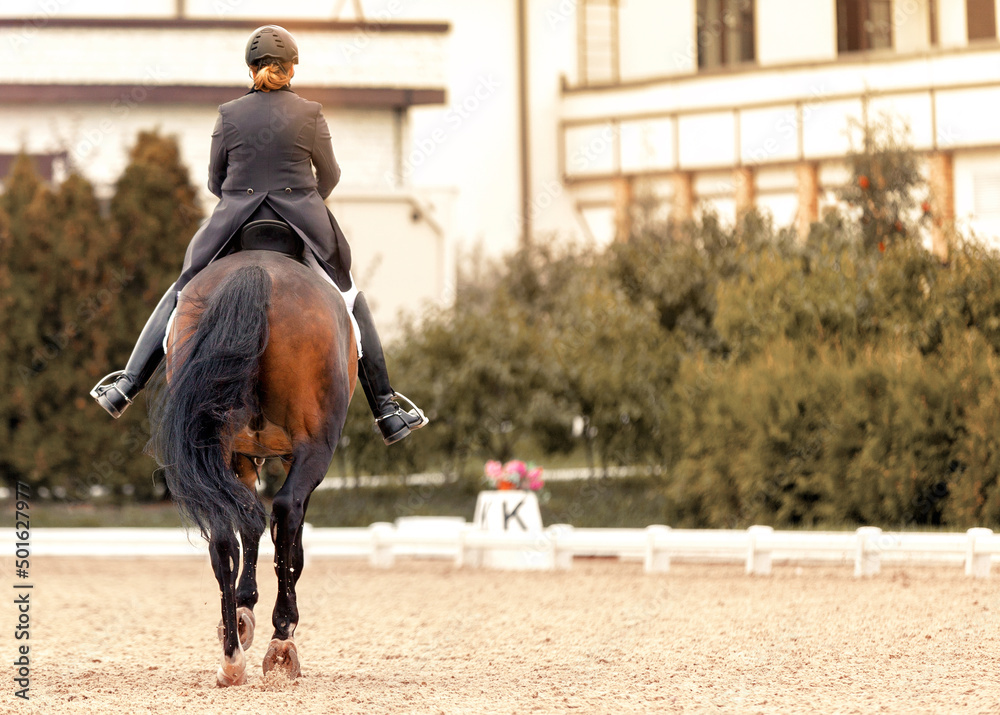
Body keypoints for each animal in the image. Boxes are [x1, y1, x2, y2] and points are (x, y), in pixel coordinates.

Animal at [146, 249, 357, 686]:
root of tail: (257, 269)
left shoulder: (239, 456)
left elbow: (249, 524)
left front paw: (244, 611)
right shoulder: (298, 454)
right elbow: (288, 540)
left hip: (217, 443)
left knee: (224, 532)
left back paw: (232, 657)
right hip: (316, 445)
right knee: (286, 511)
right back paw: (282, 638)